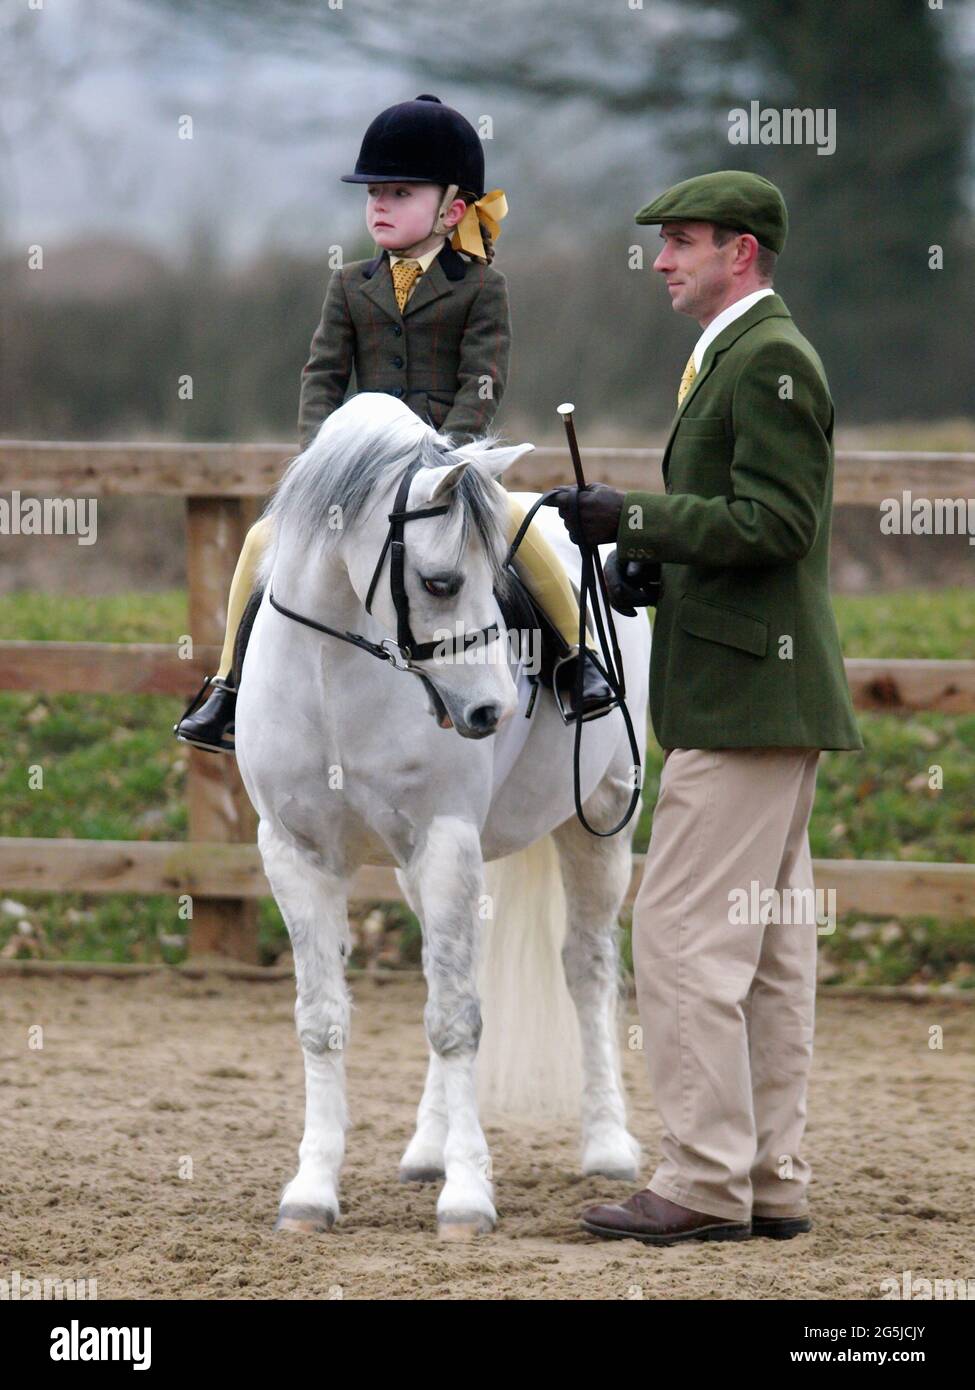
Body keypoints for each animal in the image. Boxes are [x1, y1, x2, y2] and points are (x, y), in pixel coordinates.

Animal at [234, 392, 651, 1239]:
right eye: (437, 582)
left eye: (495, 578)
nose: (490, 711)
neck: (336, 671)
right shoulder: (296, 854)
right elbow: (322, 1019)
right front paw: (310, 1191)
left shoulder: (447, 841)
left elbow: (456, 1017)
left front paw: (465, 1197)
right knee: (448, 961)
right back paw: (426, 1148)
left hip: (598, 827)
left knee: (586, 969)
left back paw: (605, 1145)